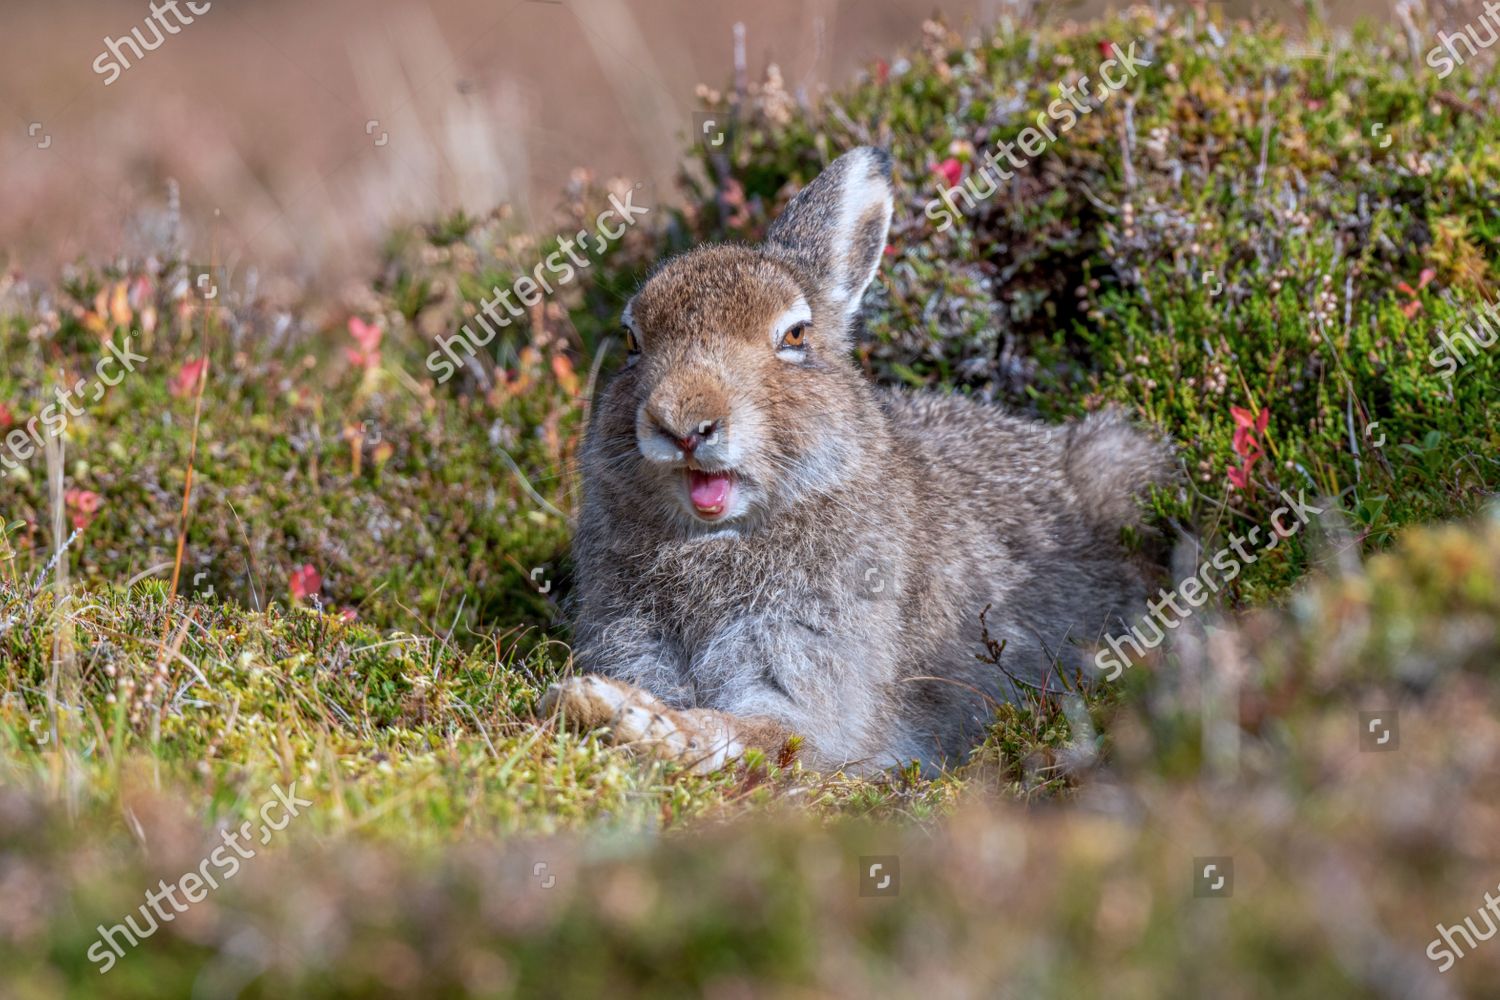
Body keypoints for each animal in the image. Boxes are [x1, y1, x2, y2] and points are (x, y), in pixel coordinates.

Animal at [542, 146, 1172, 776]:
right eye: (632, 342)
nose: (682, 423)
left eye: (795, 335)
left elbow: (759, 734)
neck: (713, 541)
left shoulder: (808, 679)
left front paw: (626, 716)